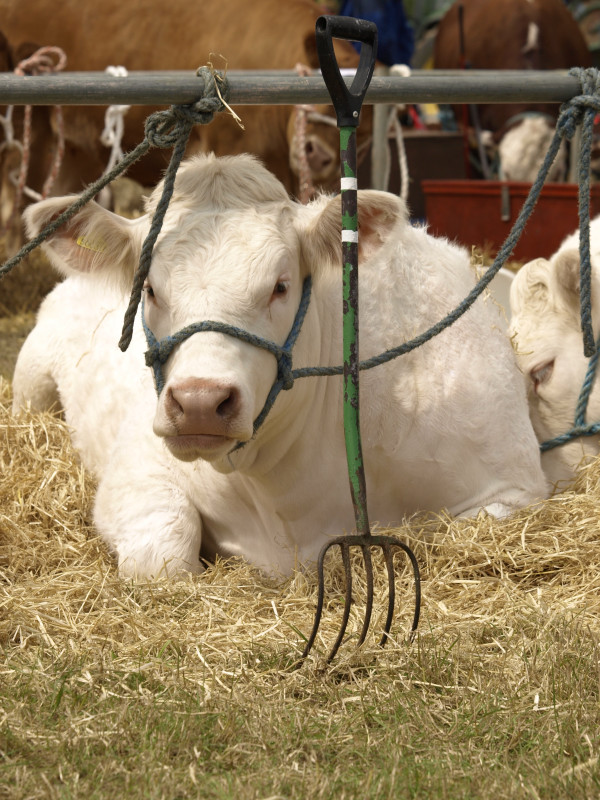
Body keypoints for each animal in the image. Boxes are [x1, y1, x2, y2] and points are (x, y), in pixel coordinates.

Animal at [12, 153, 547, 579]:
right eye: (149, 289)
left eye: (281, 285)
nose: (200, 402)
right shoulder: (137, 468)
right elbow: (163, 557)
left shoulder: (512, 483)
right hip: (29, 382)